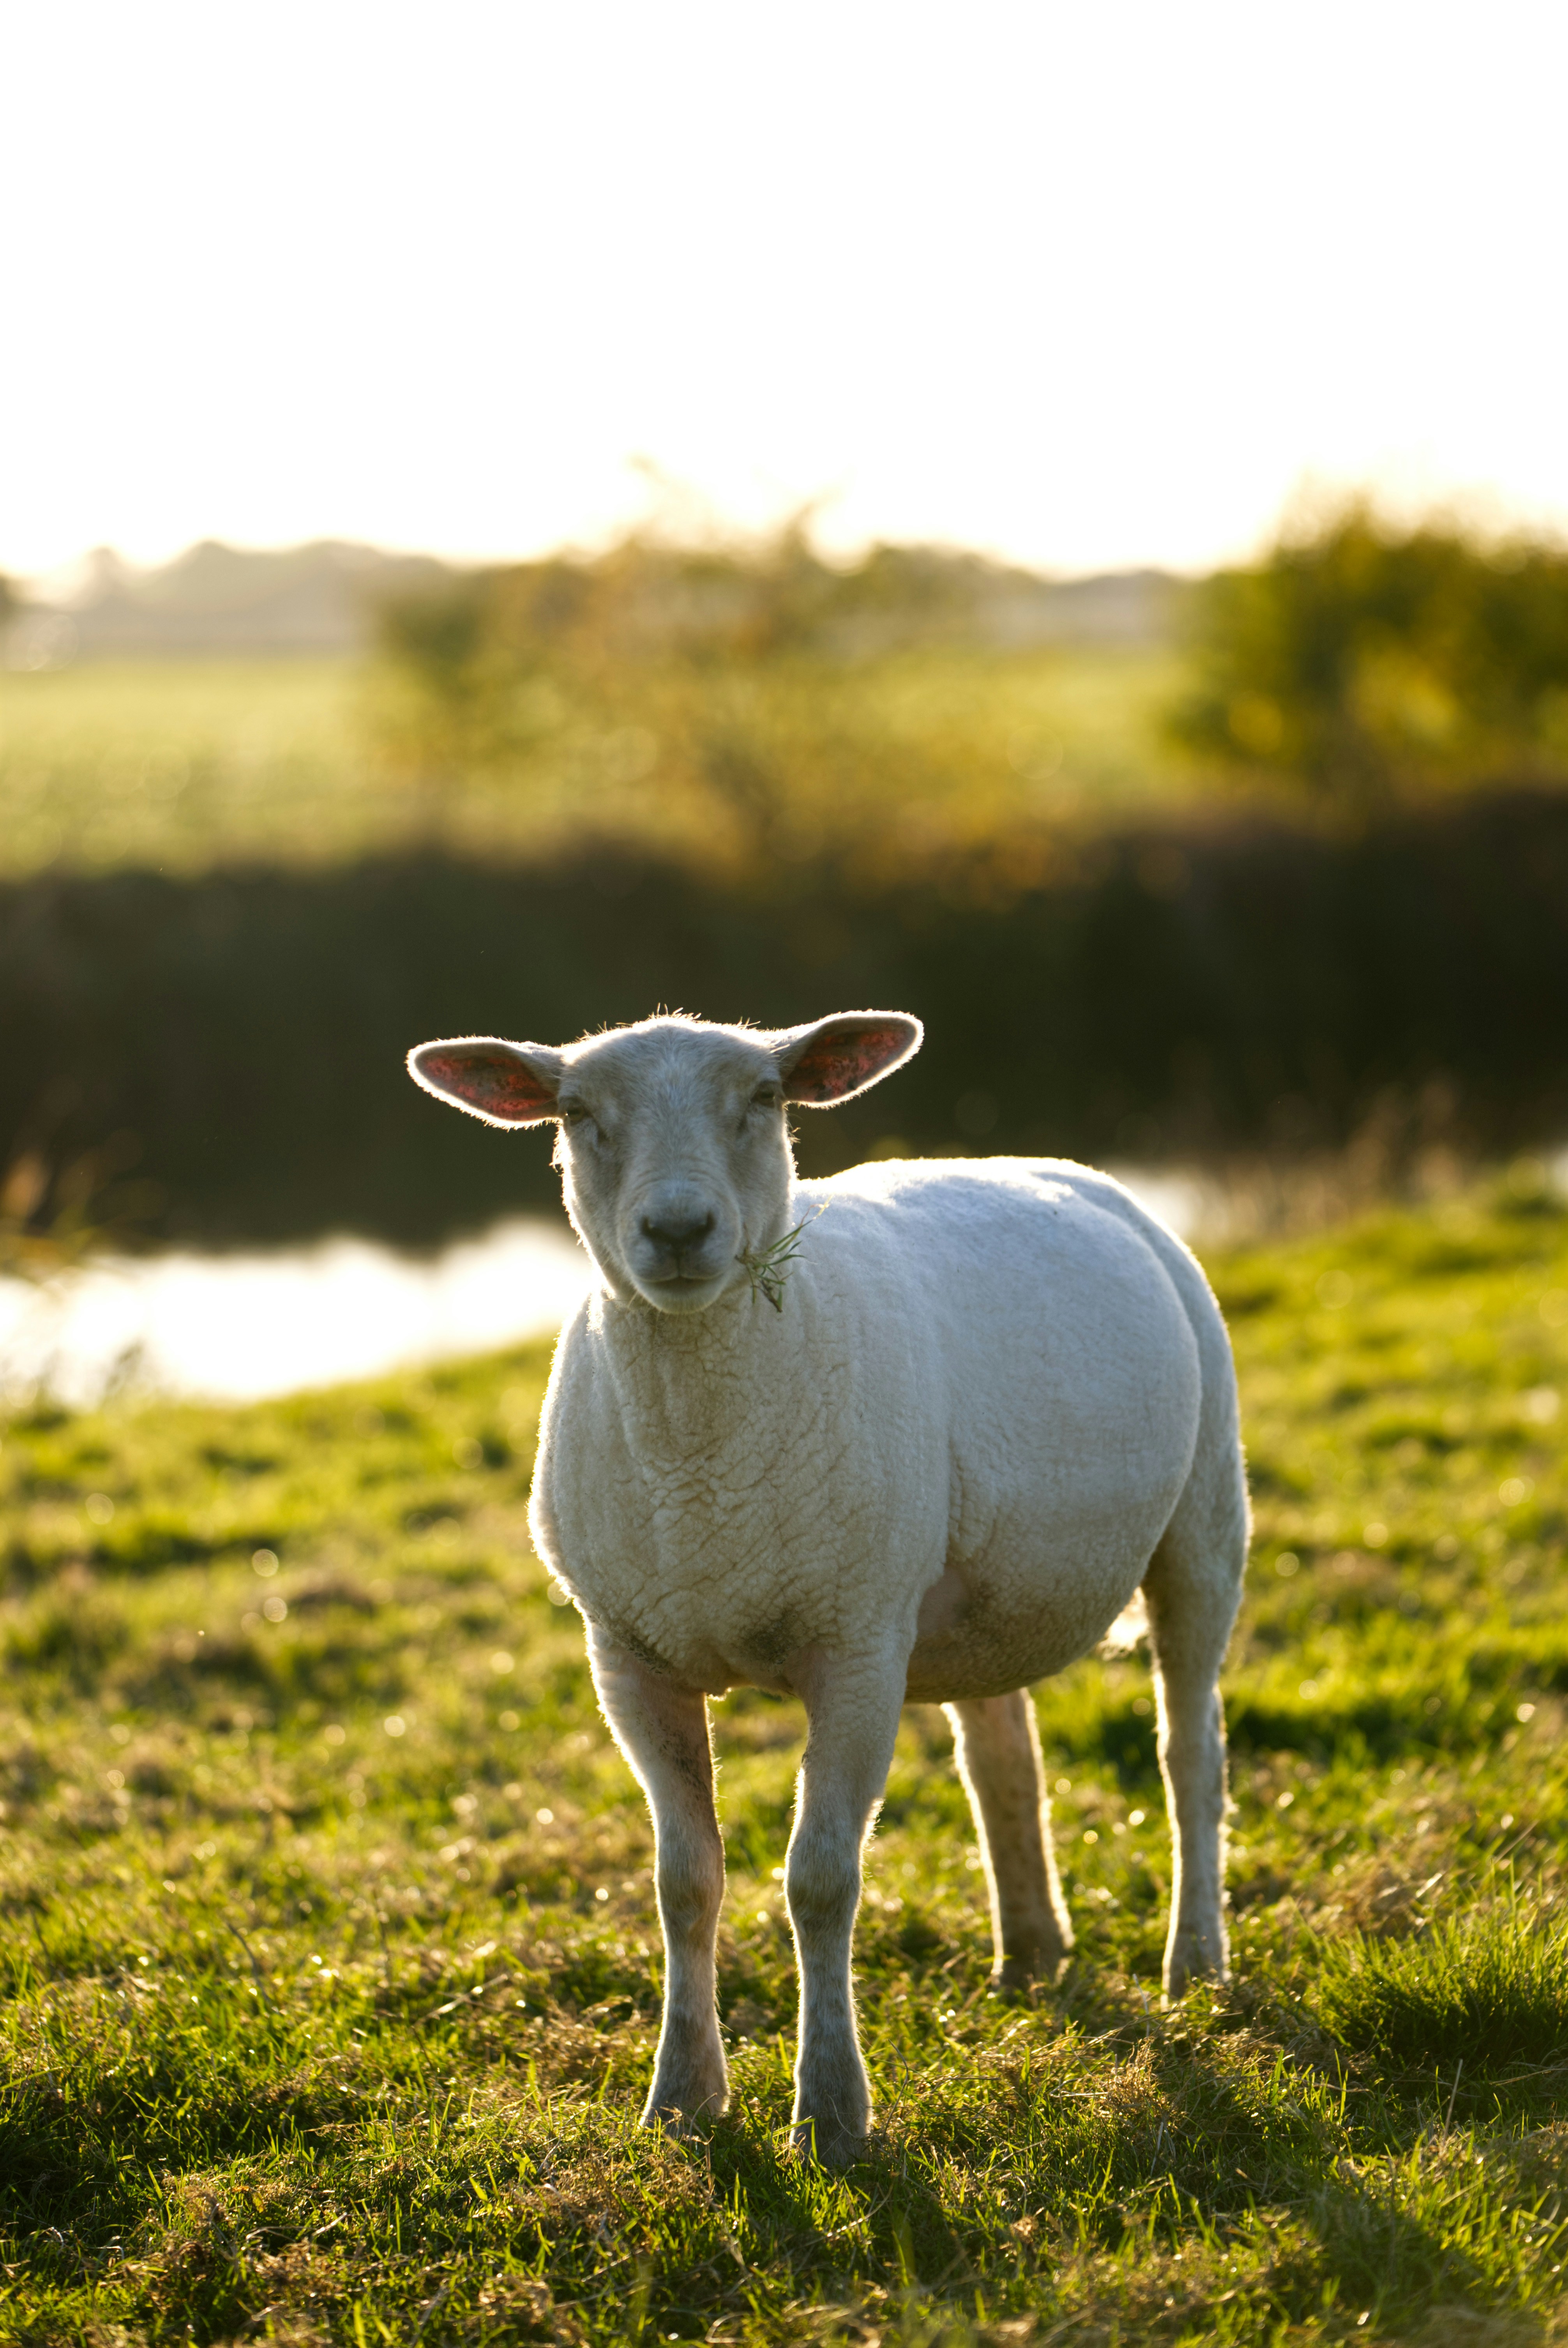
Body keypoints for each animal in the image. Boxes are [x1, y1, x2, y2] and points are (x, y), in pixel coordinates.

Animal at [408, 1009, 1248, 2167]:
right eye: (577, 1113)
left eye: (766, 1098)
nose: (679, 1229)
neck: (699, 1472)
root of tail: (1061, 1169)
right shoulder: (628, 1657)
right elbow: (683, 1883)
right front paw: (682, 2099)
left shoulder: (855, 1646)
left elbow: (819, 1880)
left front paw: (832, 2112)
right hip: (969, 1595)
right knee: (1004, 1760)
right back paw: (1031, 1953)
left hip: (1202, 1520)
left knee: (1189, 1753)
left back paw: (1194, 1963)